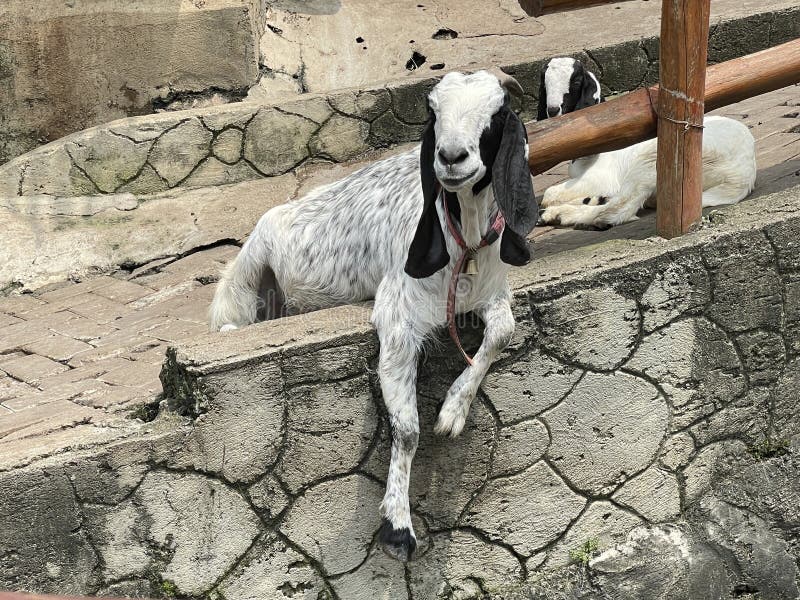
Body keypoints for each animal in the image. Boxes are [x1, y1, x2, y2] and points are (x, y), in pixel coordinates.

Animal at [209, 70, 538, 562]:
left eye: (497, 112)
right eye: (433, 112)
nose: (451, 157)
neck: (463, 243)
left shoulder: (491, 294)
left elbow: (501, 332)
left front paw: (454, 411)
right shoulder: (398, 318)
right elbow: (408, 430)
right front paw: (398, 526)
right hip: (250, 267)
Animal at [536, 57, 757, 229]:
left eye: (575, 82)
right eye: (545, 85)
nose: (553, 110)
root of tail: (743, 177)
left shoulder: (602, 178)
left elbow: (549, 192)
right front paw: (592, 198)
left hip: (652, 163)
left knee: (620, 209)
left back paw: (562, 215)